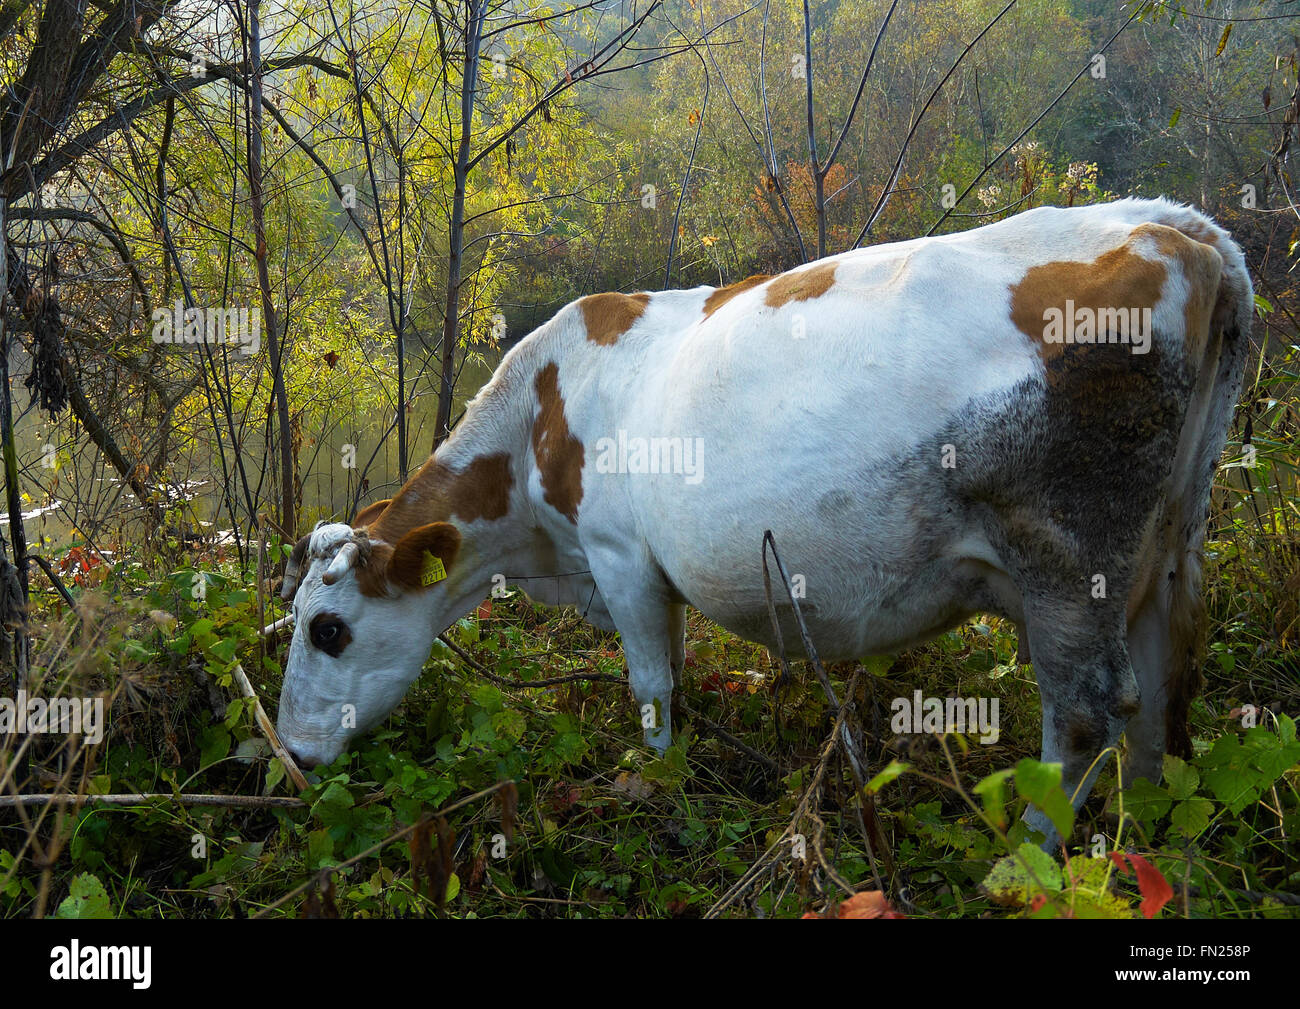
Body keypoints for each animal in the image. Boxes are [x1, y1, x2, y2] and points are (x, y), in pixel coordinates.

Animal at [275, 197, 1251, 845]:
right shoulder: (651, 573)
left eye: (328, 628)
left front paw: (653, 778)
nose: (291, 753)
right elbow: (675, 667)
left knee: (1088, 707)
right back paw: (1148, 833)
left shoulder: (619, 554)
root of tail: (1174, 228)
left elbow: (649, 683)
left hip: (1069, 556)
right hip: (1168, 543)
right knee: (1163, 682)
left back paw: (1031, 854)